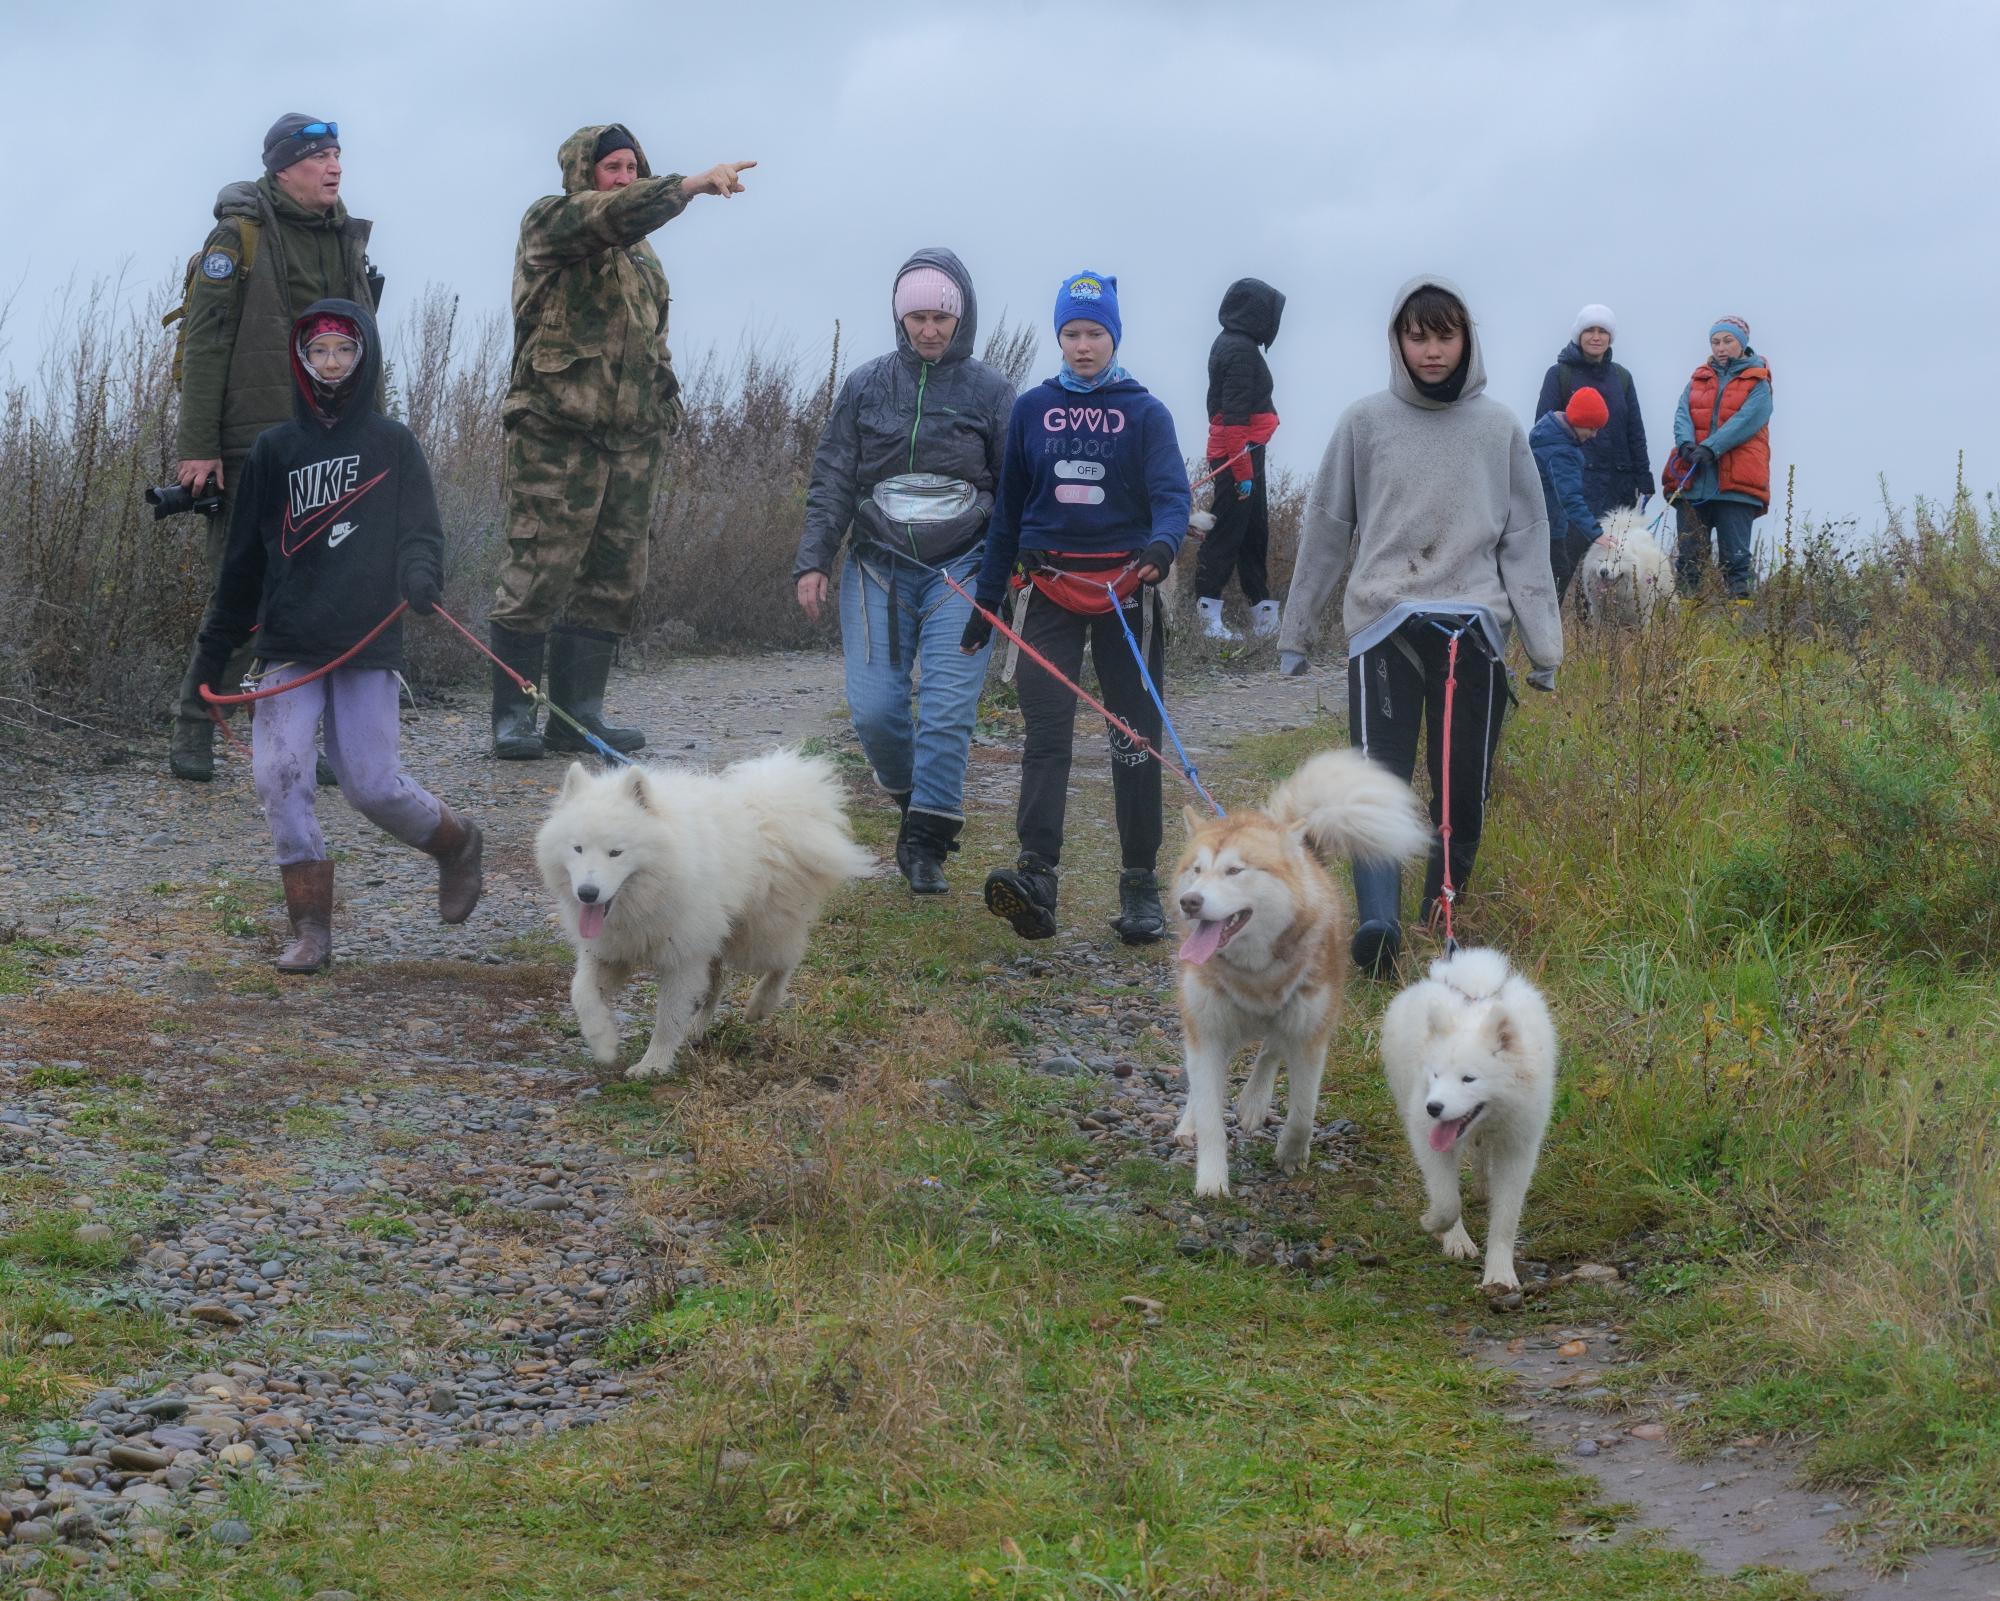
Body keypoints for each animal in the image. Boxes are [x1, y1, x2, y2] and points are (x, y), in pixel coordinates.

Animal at [536, 752, 872, 1080]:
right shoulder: (610, 951)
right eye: (578, 848)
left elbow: (667, 1018)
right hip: (716, 938)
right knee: (716, 985)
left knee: (786, 960)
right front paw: (603, 1042)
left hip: (754, 934)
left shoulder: (682, 959)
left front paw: (653, 1064)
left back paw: (760, 1005)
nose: (587, 893)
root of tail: (766, 809)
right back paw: (696, 1028)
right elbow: (581, 993)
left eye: (615, 852)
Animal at [1384, 952, 1552, 1288]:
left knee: (1481, 1153)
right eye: (1435, 1075)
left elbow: (1506, 1219)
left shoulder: (1518, 1148)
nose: (1433, 1107)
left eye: (1468, 1079)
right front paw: (1441, 1228)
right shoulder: (1428, 1139)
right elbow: (1448, 1199)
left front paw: (1499, 1274)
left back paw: (1483, 1187)